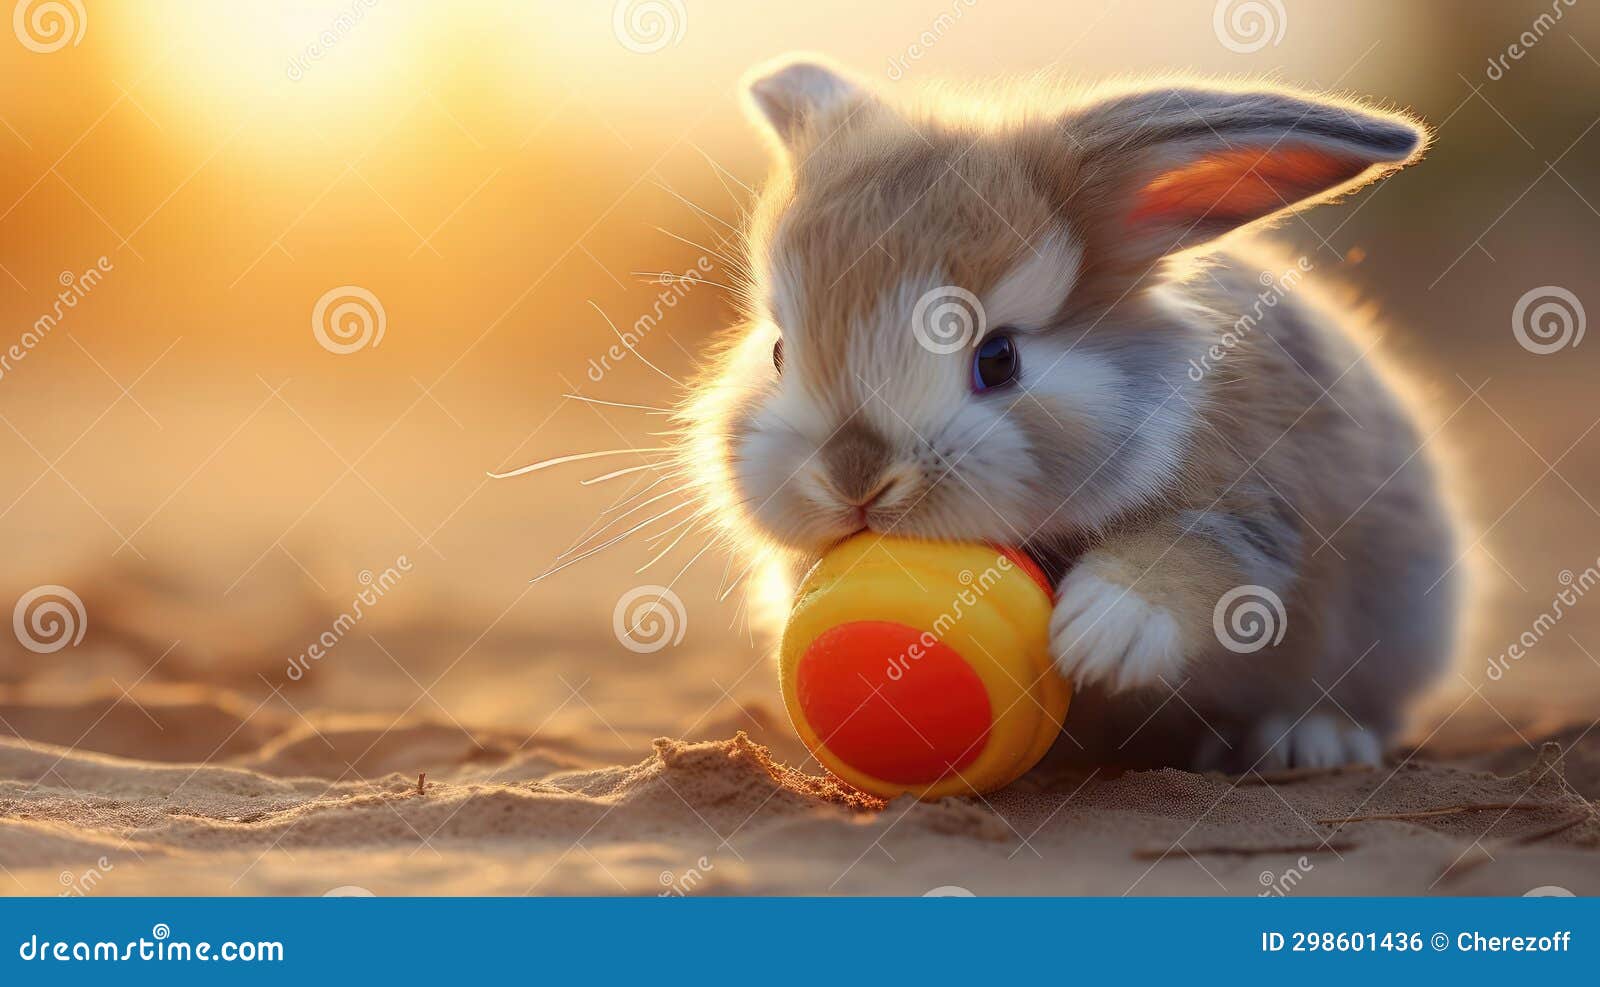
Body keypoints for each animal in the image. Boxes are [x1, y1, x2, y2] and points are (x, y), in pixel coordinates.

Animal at [677, 56, 1461, 772]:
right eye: (780, 351)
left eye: (999, 358)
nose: (855, 479)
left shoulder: (1257, 505)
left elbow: (1205, 555)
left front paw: (1103, 632)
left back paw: (1313, 741)